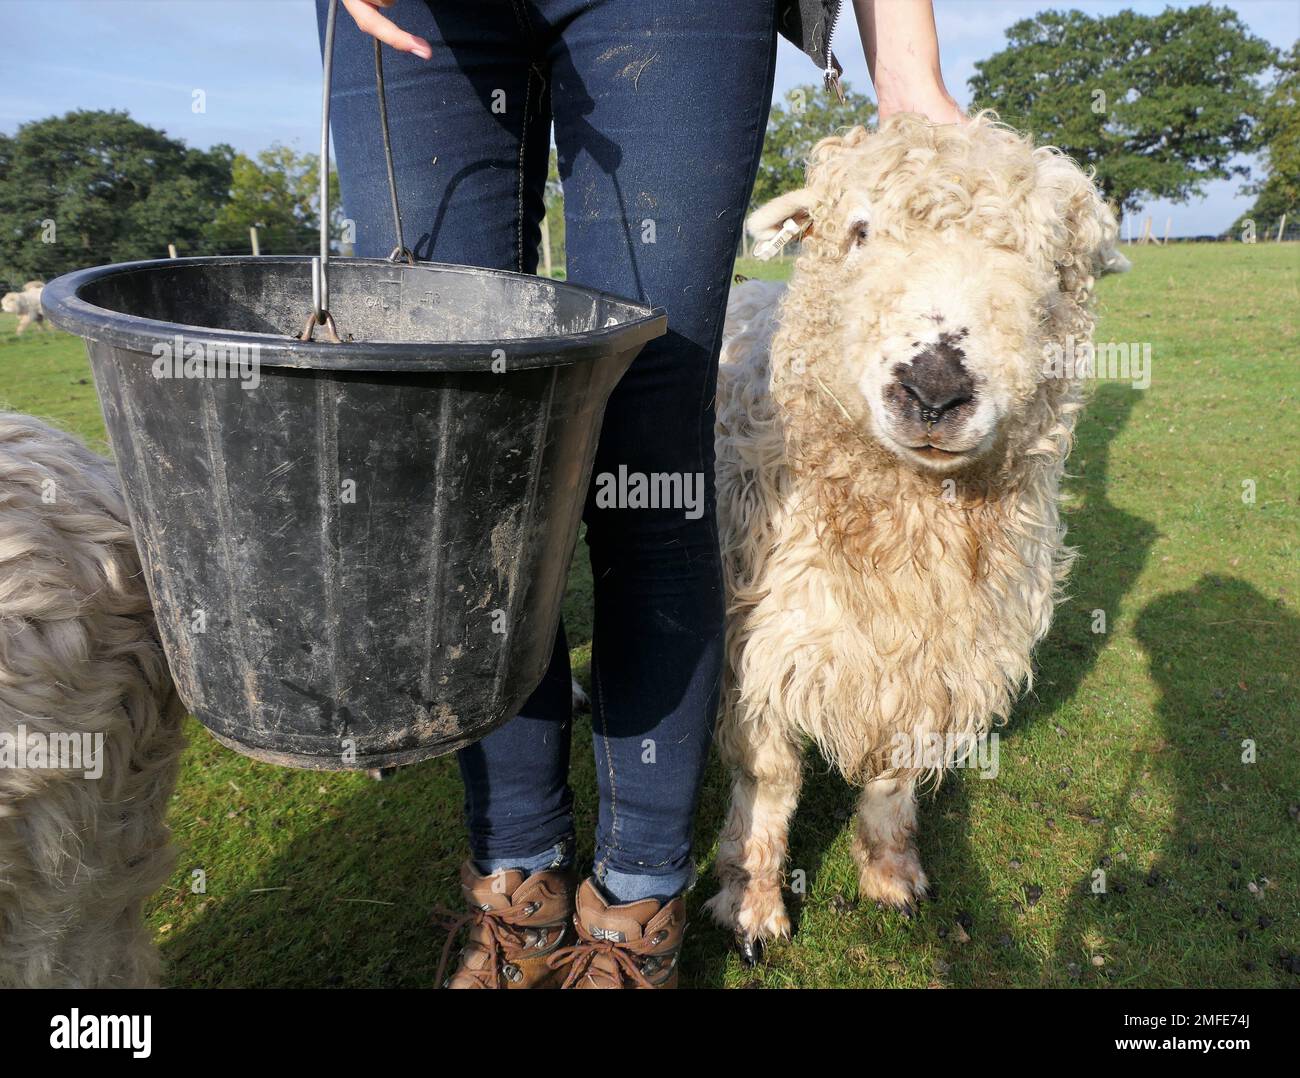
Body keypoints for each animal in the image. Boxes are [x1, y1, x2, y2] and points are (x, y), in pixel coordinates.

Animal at [704, 114, 1127, 958]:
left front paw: (892, 875)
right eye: (859, 232)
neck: (903, 526)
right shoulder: (761, 641)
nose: (935, 389)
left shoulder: (941, 648)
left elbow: (897, 771)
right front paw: (754, 904)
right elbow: (770, 780)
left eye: (1051, 264)